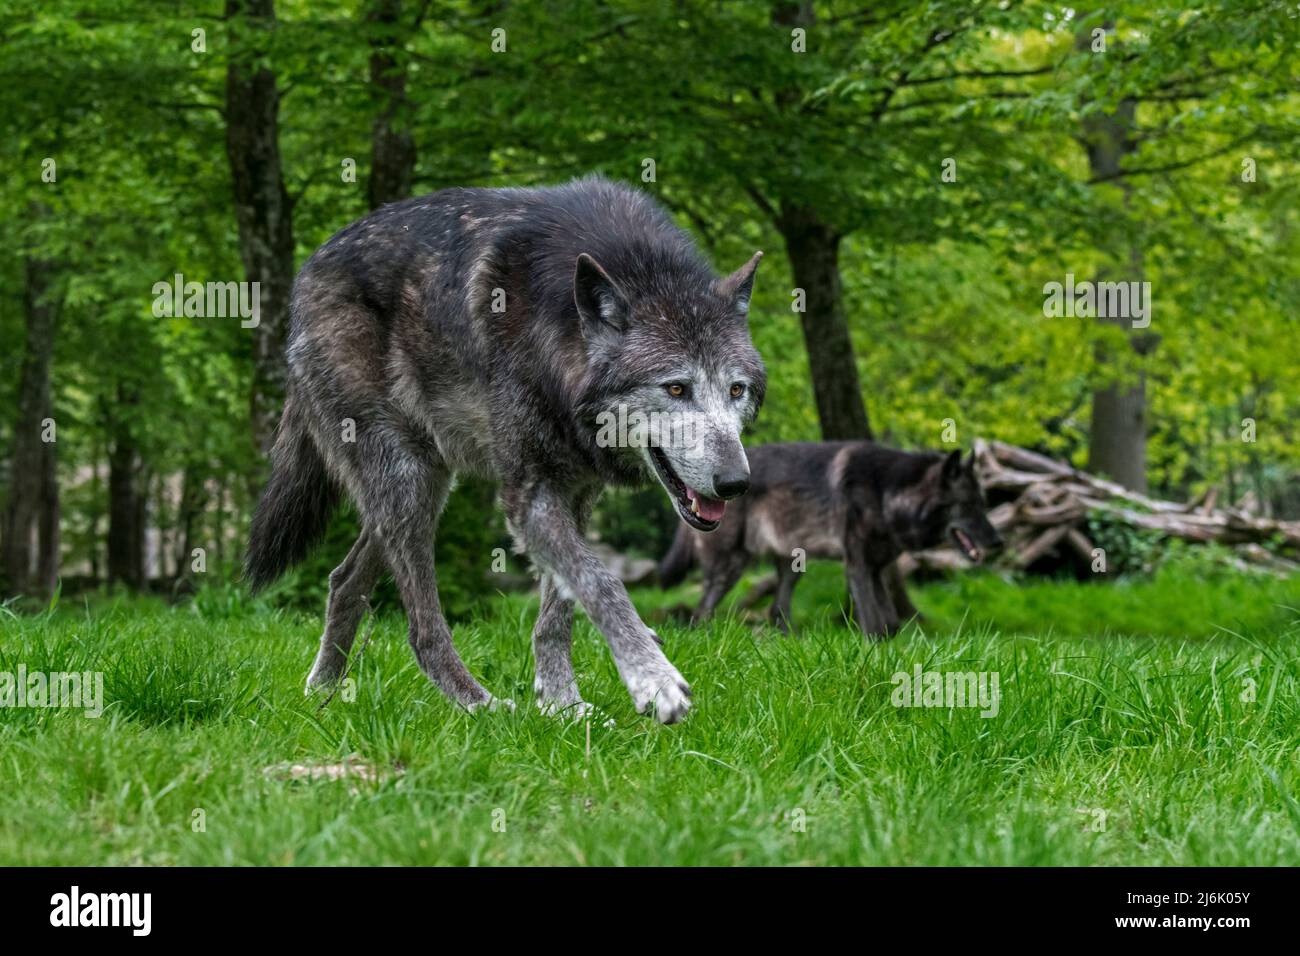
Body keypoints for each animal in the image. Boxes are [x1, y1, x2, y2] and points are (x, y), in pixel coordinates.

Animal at [245, 176, 765, 723]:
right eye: (677, 388)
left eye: (736, 390)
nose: (736, 483)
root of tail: (306, 275)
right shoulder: (528, 496)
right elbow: (602, 580)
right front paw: (653, 679)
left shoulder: (578, 492)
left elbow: (559, 611)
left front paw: (562, 704)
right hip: (406, 479)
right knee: (421, 626)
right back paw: (477, 703)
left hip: (423, 485)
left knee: (344, 580)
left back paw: (322, 694)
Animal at [658, 442, 1001, 637]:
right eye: (967, 506)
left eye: (983, 504)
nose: (997, 542)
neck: (885, 493)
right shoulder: (857, 565)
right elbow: (874, 623)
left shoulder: (875, 568)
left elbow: (890, 623)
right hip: (731, 565)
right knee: (702, 611)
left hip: (792, 566)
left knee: (776, 610)